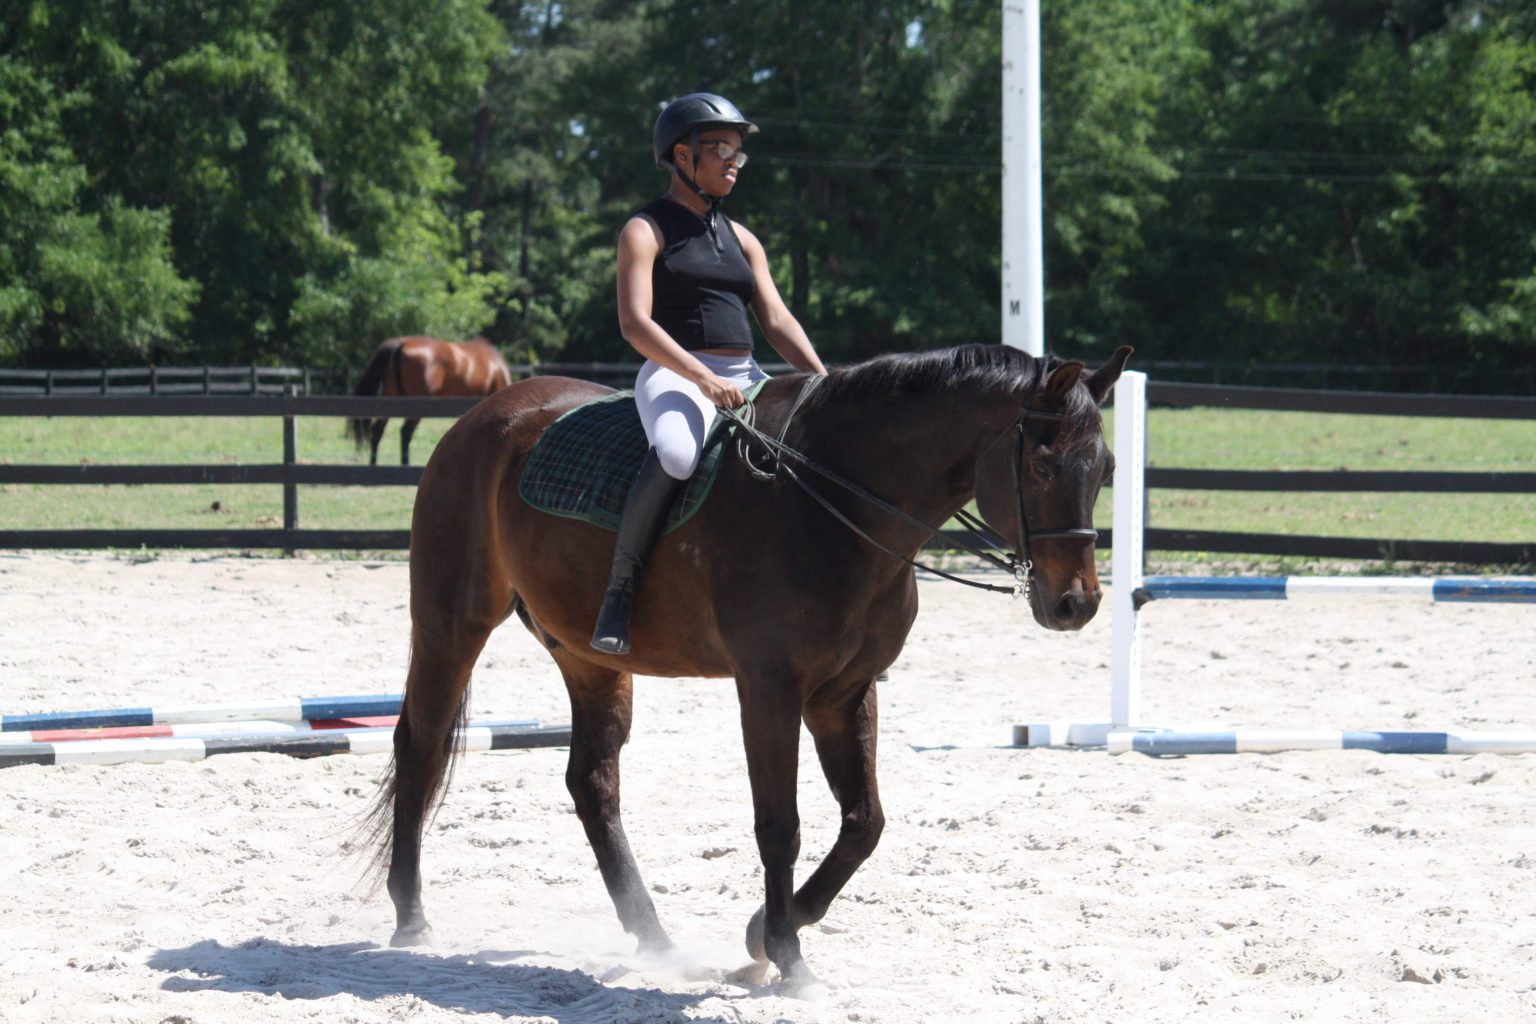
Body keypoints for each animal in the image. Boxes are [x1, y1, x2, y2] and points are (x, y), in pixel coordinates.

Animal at [346, 335, 513, 465]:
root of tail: (401, 342)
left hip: (390, 399)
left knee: (378, 430)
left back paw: (374, 463)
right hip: (416, 406)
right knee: (405, 431)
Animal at [367, 343, 1132, 992]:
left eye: (1108, 471)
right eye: (1042, 466)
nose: (1076, 603)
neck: (841, 503)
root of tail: (487, 414)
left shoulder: (845, 692)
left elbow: (864, 822)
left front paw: (764, 934)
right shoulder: (770, 689)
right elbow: (779, 824)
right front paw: (787, 958)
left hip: (586, 656)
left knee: (592, 781)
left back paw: (653, 938)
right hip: (451, 625)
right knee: (421, 744)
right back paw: (410, 918)